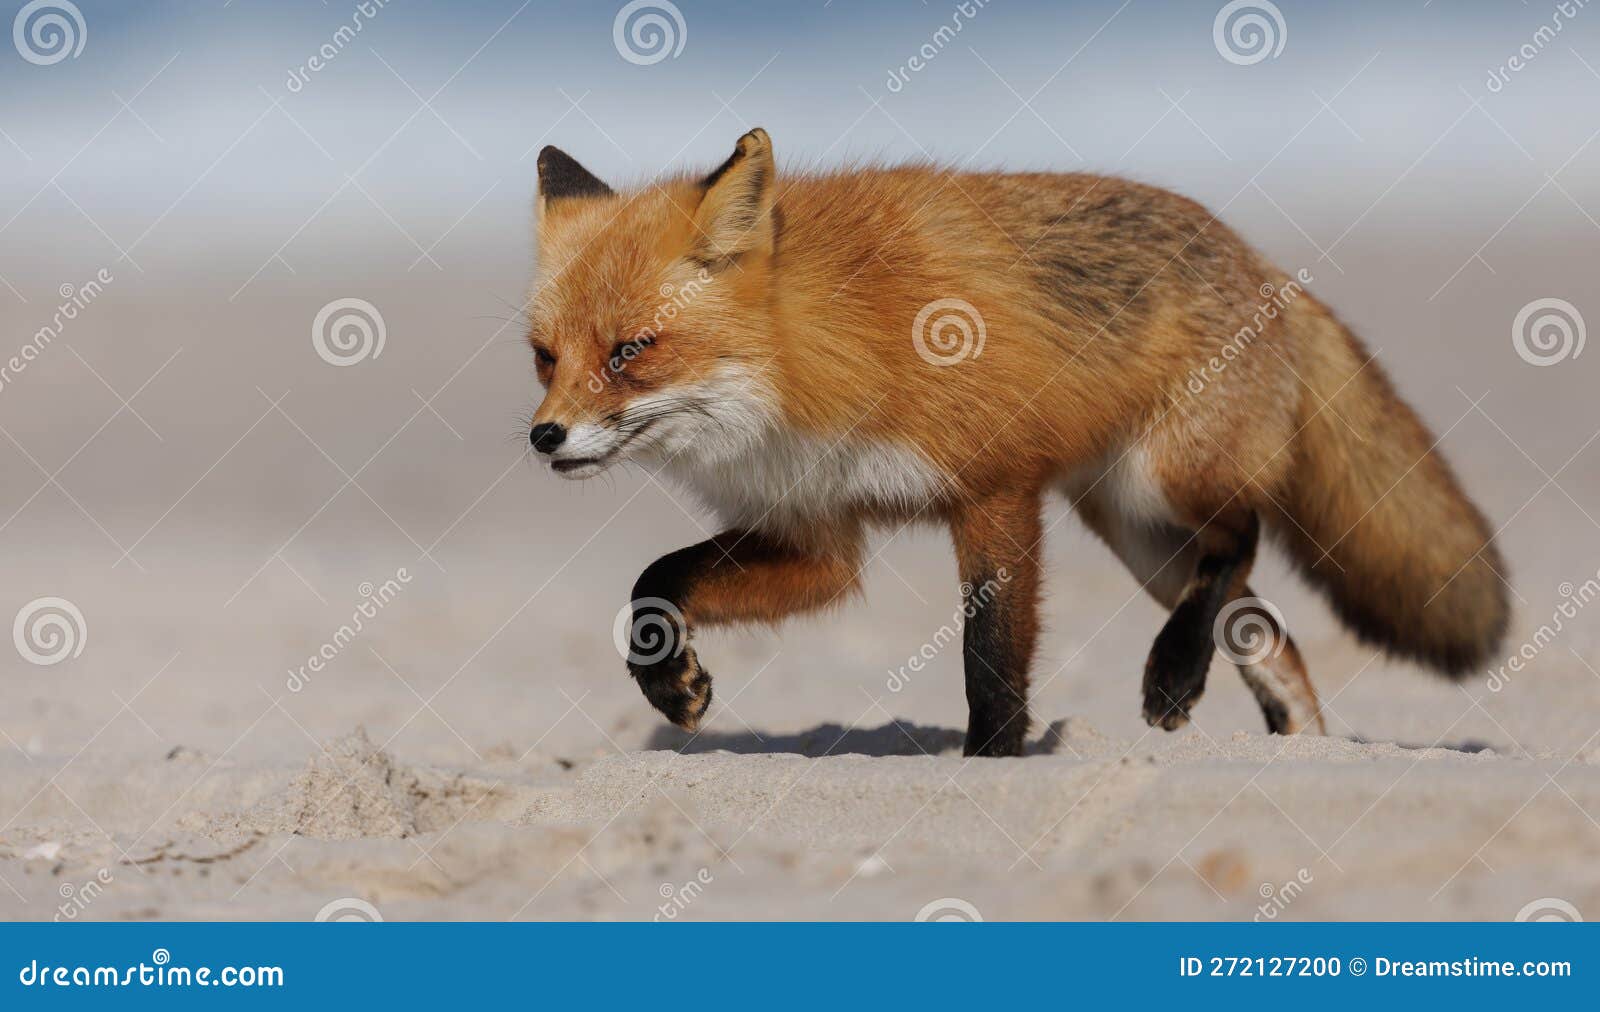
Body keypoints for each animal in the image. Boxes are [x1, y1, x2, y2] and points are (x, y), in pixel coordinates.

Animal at [523, 127, 1509, 758]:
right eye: (545, 356)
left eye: (629, 351)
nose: (544, 436)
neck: (810, 358)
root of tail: (1267, 267)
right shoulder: (818, 534)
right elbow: (656, 582)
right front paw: (668, 683)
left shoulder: (994, 490)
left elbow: (991, 661)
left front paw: (990, 766)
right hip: (1142, 538)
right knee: (1266, 630)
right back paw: (1297, 749)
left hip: (1161, 484)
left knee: (1243, 535)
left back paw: (1174, 675)